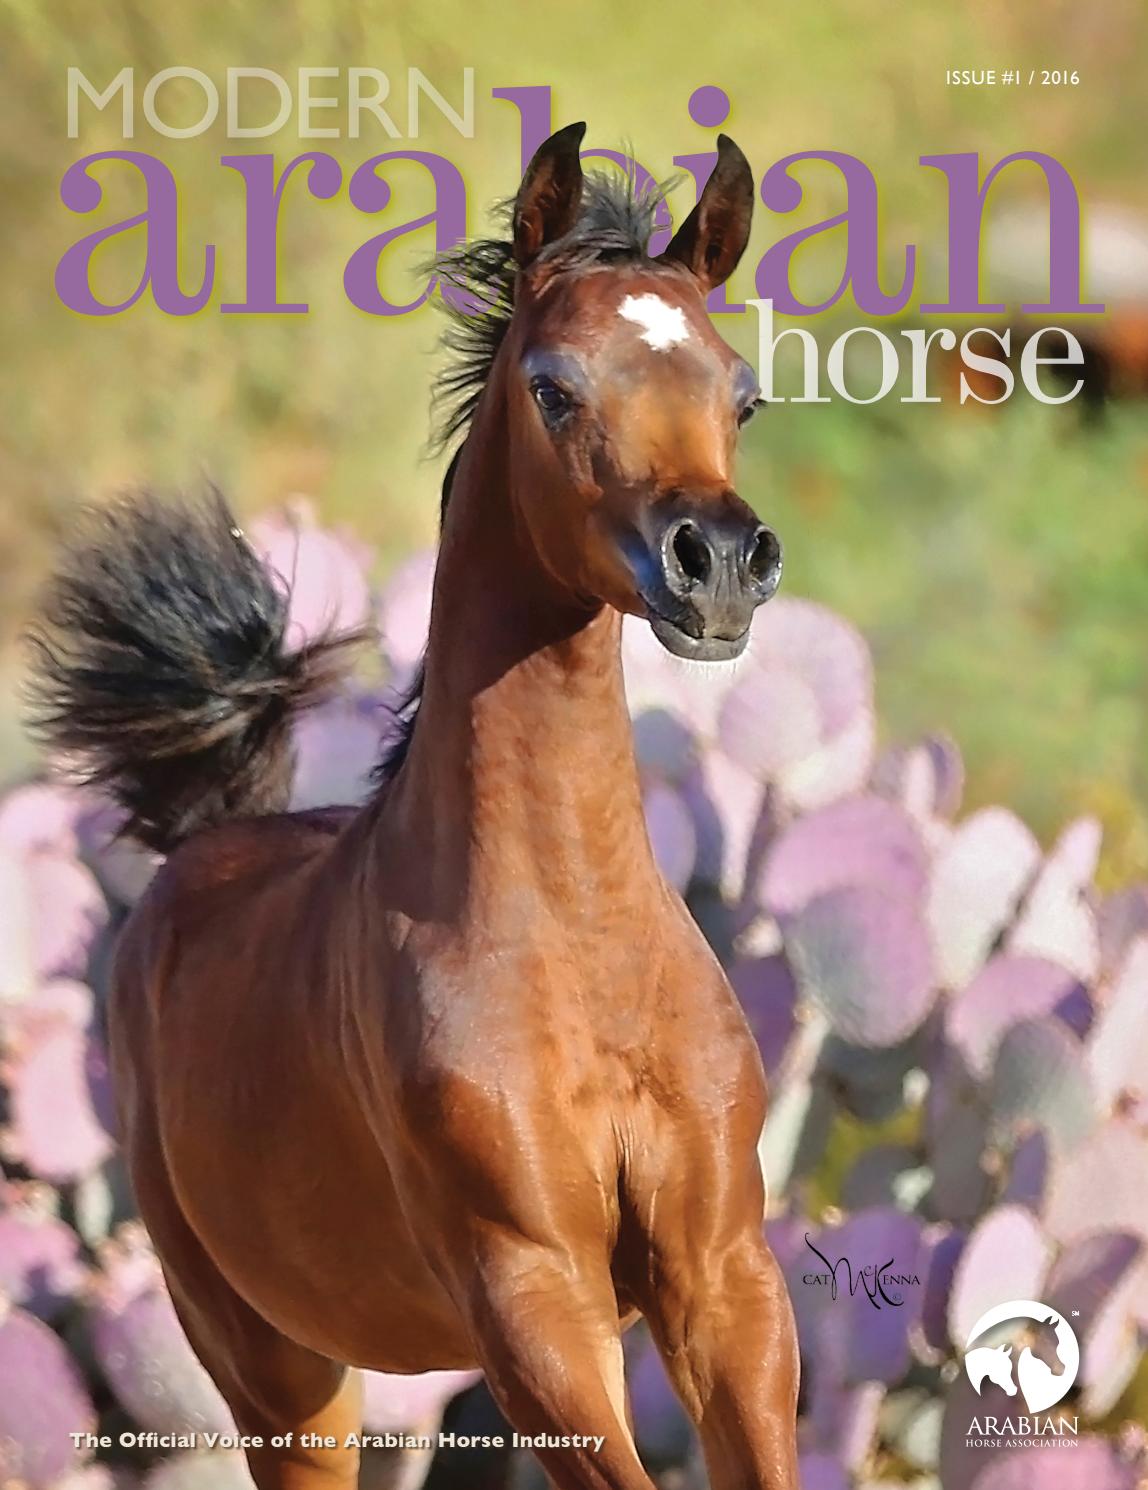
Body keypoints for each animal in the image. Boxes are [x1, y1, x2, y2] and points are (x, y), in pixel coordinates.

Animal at [28, 122, 796, 1490]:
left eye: (738, 392)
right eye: (553, 386)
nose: (715, 565)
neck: (580, 949)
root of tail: (197, 852)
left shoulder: (724, 1279)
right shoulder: (533, 1301)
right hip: (281, 1371)